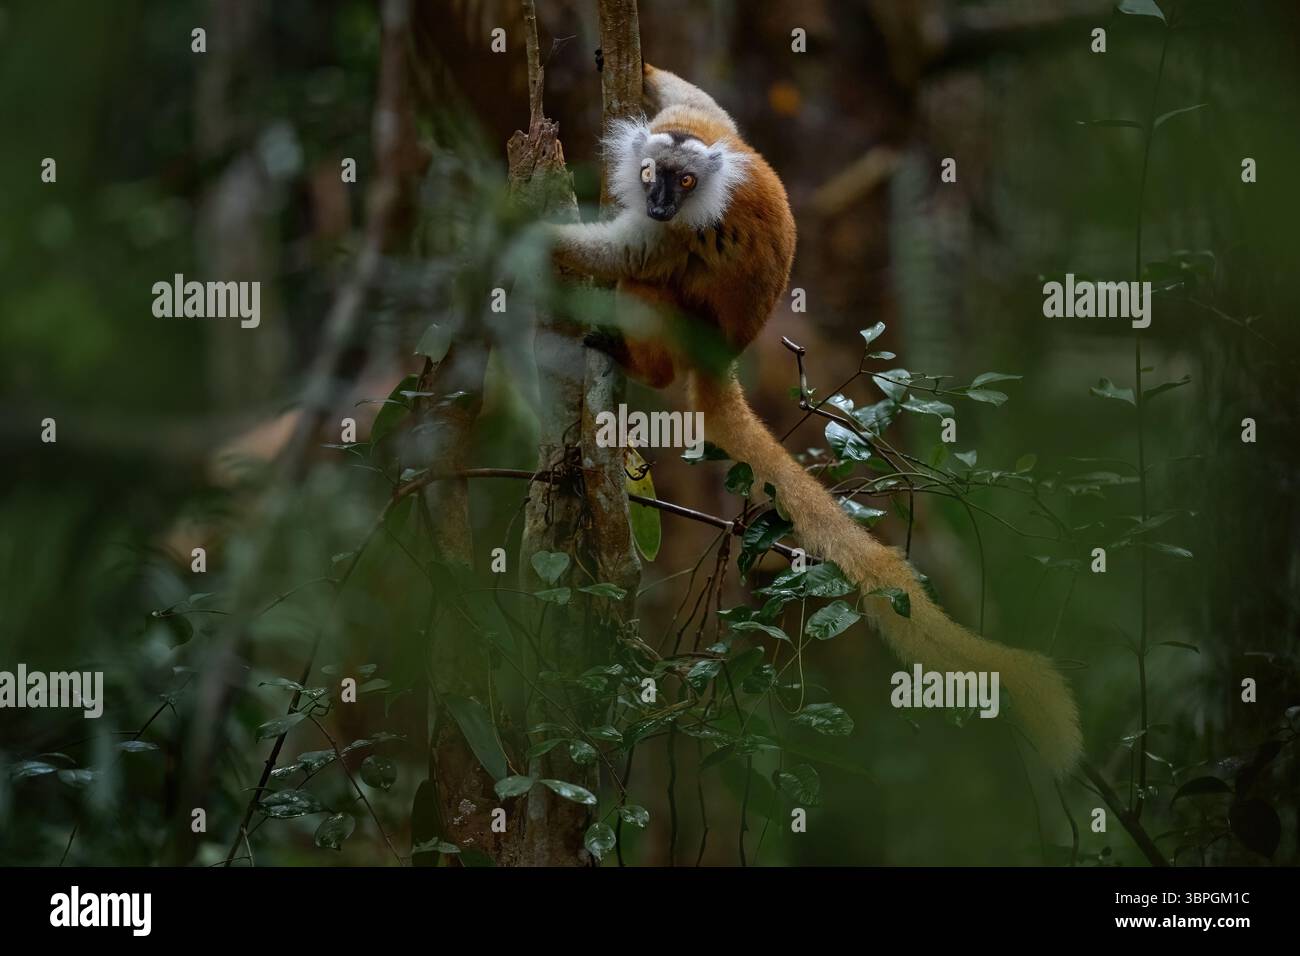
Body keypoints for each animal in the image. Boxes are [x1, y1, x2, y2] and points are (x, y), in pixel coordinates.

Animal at [549, 64, 1082, 777]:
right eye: (654, 174)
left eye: (683, 184)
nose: (659, 201)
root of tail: (724, 357)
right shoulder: (701, 129)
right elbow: (708, 105)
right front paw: (638, 69)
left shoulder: (675, 232)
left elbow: (622, 259)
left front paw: (504, 229)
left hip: (684, 318)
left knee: (646, 288)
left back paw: (637, 360)